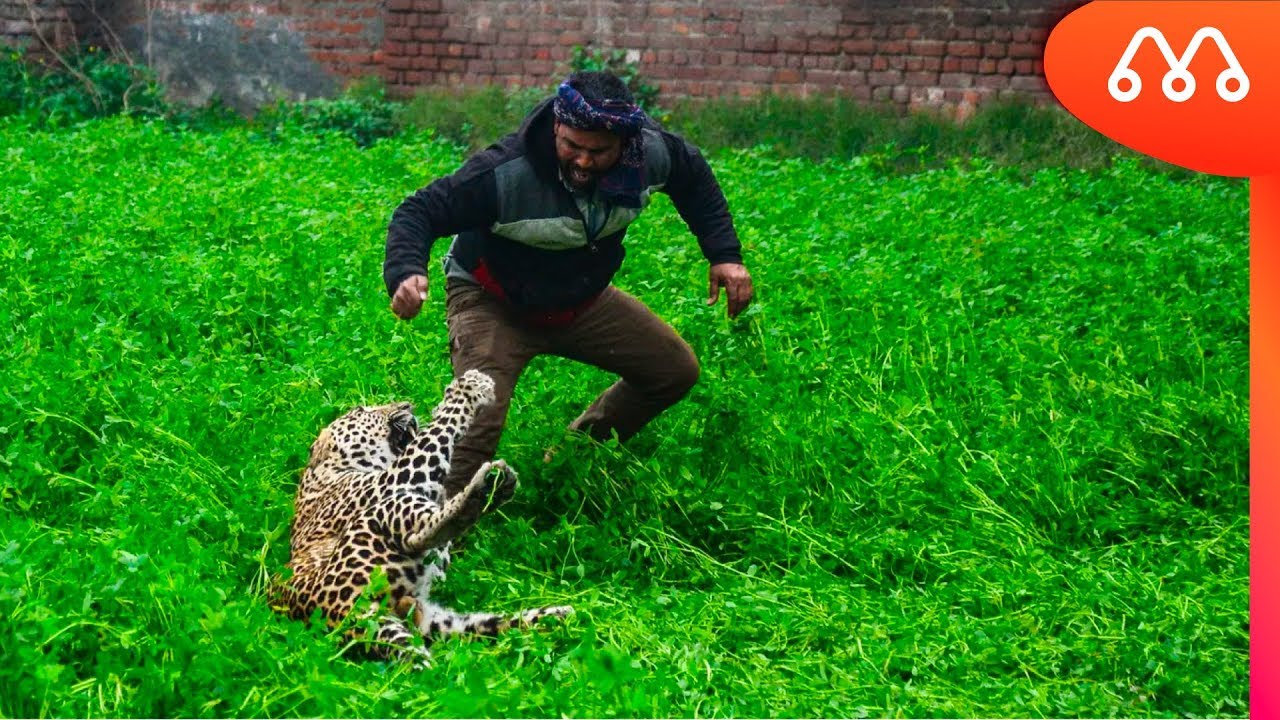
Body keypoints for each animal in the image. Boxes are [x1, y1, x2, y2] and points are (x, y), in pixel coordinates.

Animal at [272, 369, 572, 661]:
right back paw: (485, 492)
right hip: (379, 521)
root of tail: (345, 615)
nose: (406, 405)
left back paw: (555, 615)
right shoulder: (395, 478)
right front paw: (468, 388)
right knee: (421, 532)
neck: (324, 470)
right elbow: (435, 432)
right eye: (361, 410)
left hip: (439, 624)